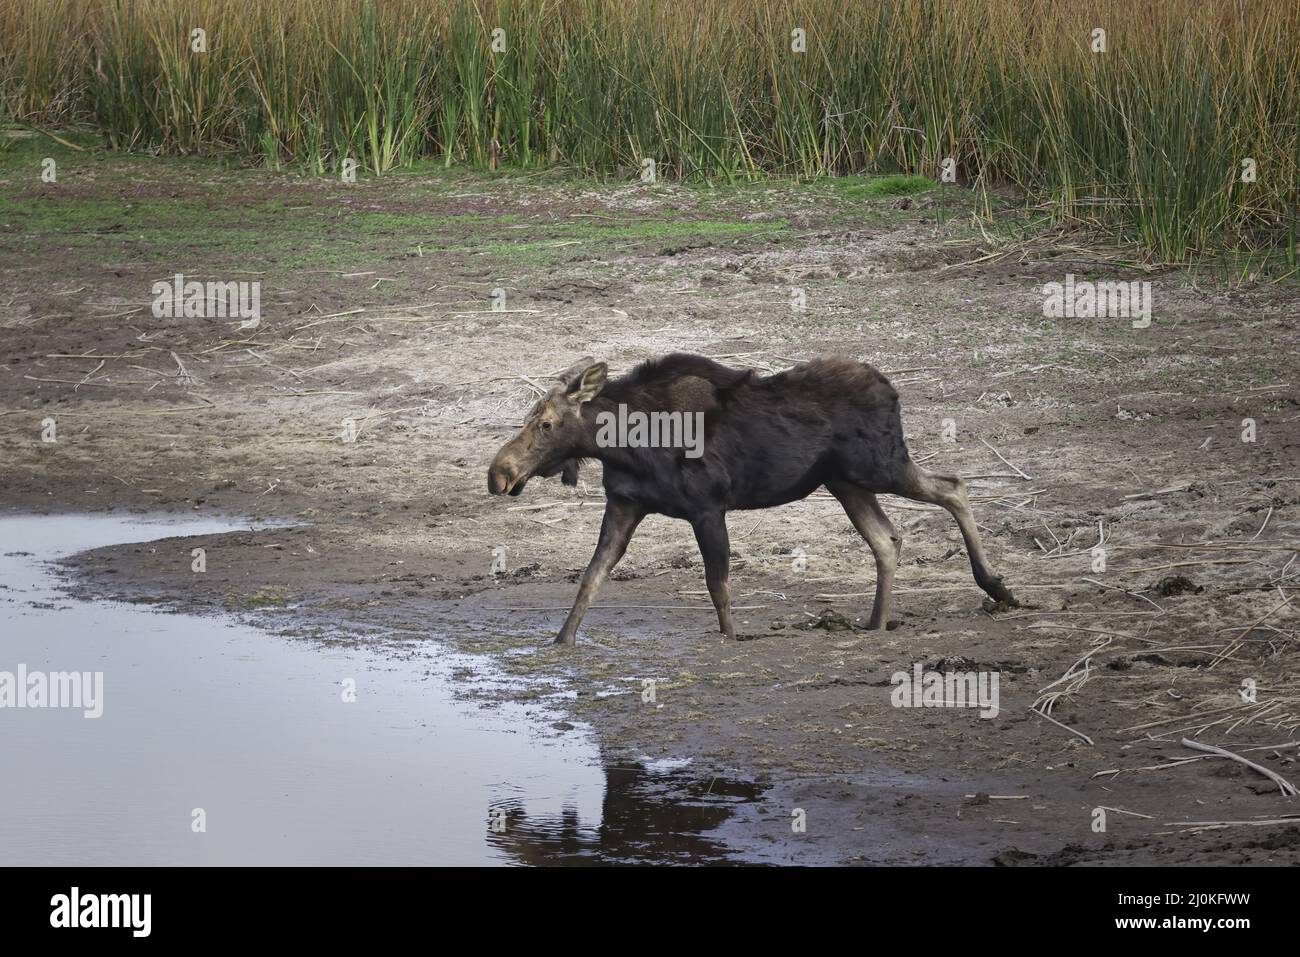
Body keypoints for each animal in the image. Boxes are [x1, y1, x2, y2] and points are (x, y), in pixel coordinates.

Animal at [487, 354, 1017, 645]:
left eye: (546, 423)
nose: (499, 474)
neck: (626, 445)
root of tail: (893, 390)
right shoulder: (624, 504)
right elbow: (591, 578)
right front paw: (561, 642)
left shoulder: (708, 507)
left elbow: (718, 585)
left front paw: (730, 639)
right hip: (846, 482)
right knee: (888, 538)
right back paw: (876, 623)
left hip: (879, 466)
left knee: (953, 486)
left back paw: (997, 587)